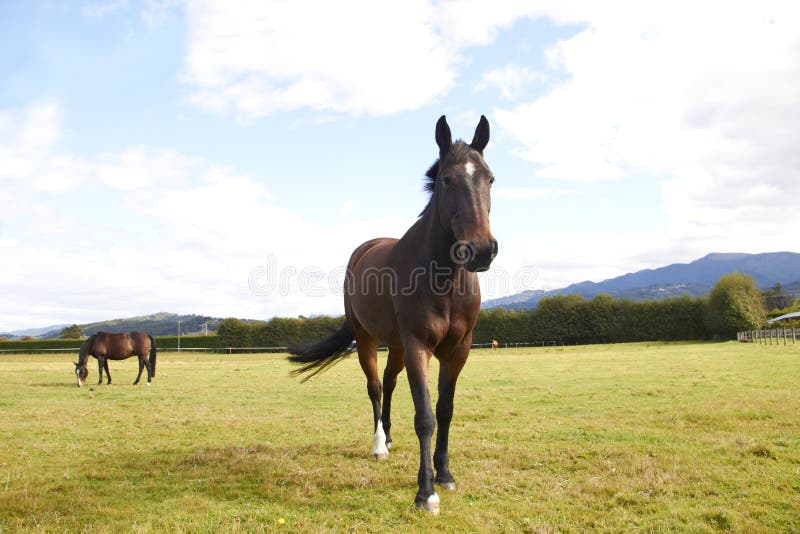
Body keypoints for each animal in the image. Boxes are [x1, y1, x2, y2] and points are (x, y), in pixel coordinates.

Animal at [289, 115, 497, 514]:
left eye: (490, 178)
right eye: (447, 179)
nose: (480, 250)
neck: (443, 277)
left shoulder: (458, 350)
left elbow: (445, 410)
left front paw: (444, 474)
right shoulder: (418, 346)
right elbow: (425, 417)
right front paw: (425, 492)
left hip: (397, 346)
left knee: (388, 382)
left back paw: (387, 435)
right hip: (368, 339)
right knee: (373, 385)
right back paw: (378, 444)